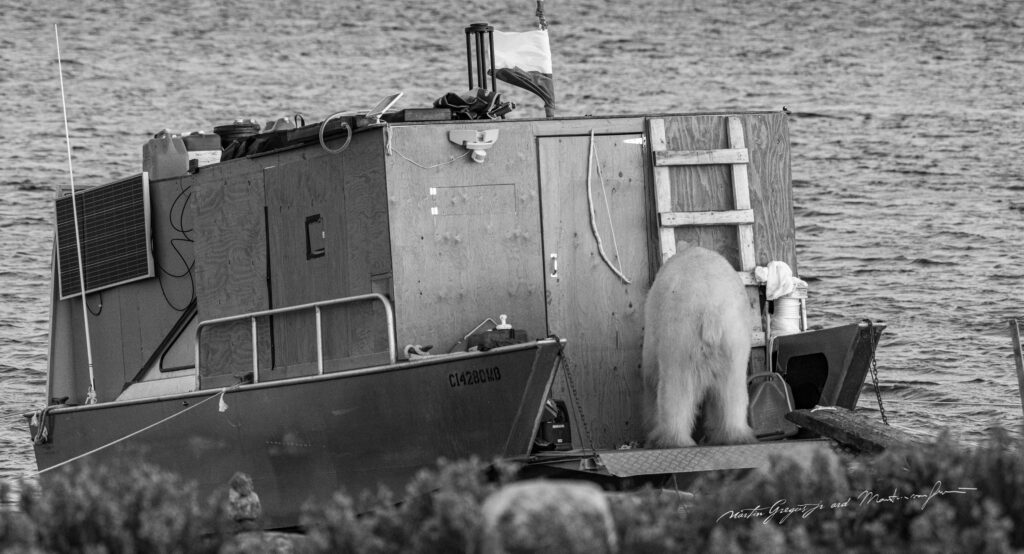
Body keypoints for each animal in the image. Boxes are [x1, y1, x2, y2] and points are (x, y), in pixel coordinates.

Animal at [642, 242, 757, 447]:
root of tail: (710, 311)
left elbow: (650, 378)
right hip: (733, 338)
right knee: (732, 390)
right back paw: (734, 436)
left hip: (680, 337)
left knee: (675, 388)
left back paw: (672, 440)